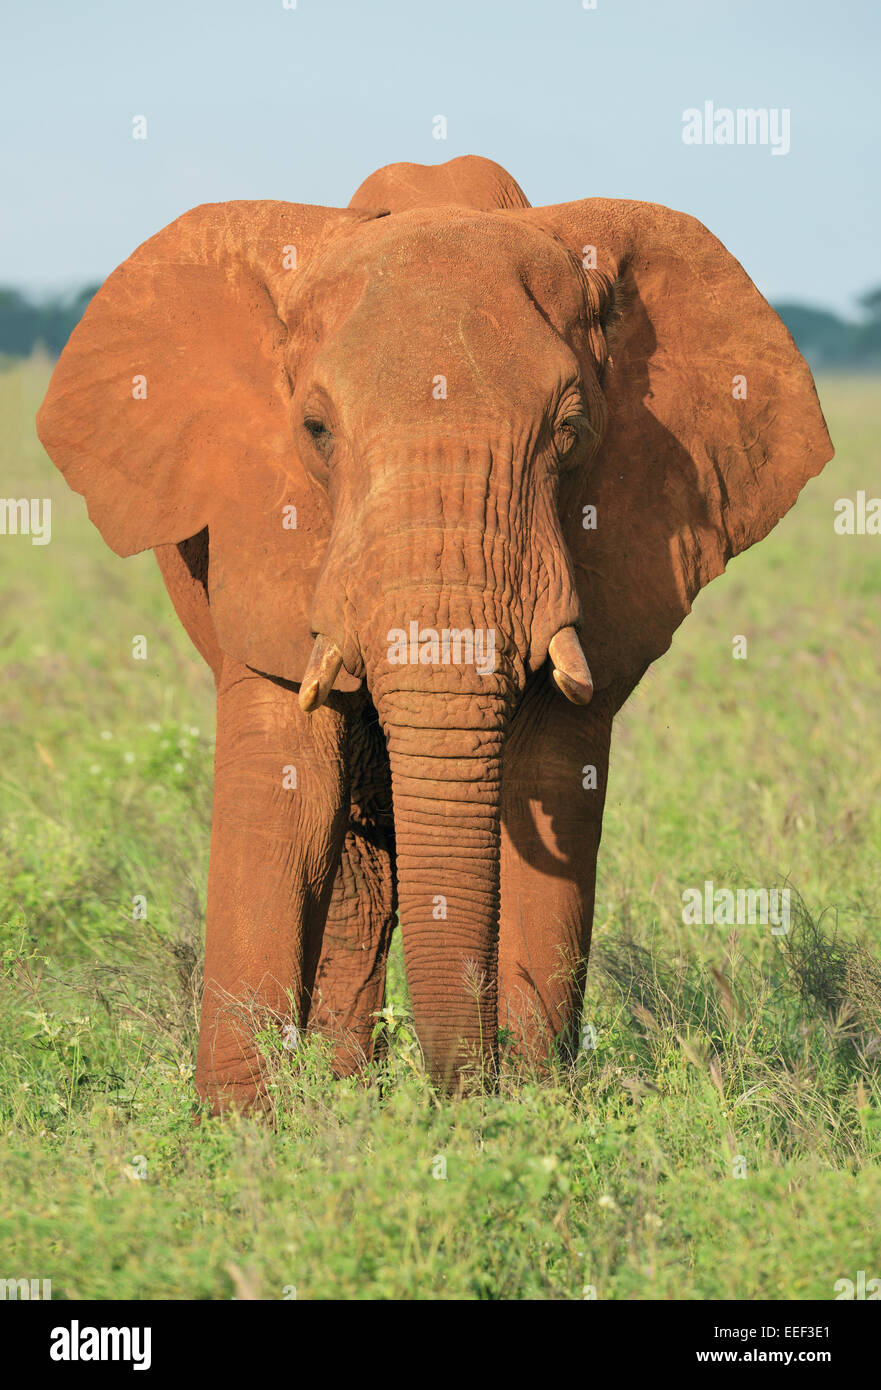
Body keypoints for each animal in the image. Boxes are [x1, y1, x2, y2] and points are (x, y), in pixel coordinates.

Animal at [37, 155, 833, 1112]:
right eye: (314, 431)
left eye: (570, 434)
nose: (464, 1088)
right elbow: (285, 785)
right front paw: (237, 1129)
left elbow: (555, 780)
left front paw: (531, 1110)